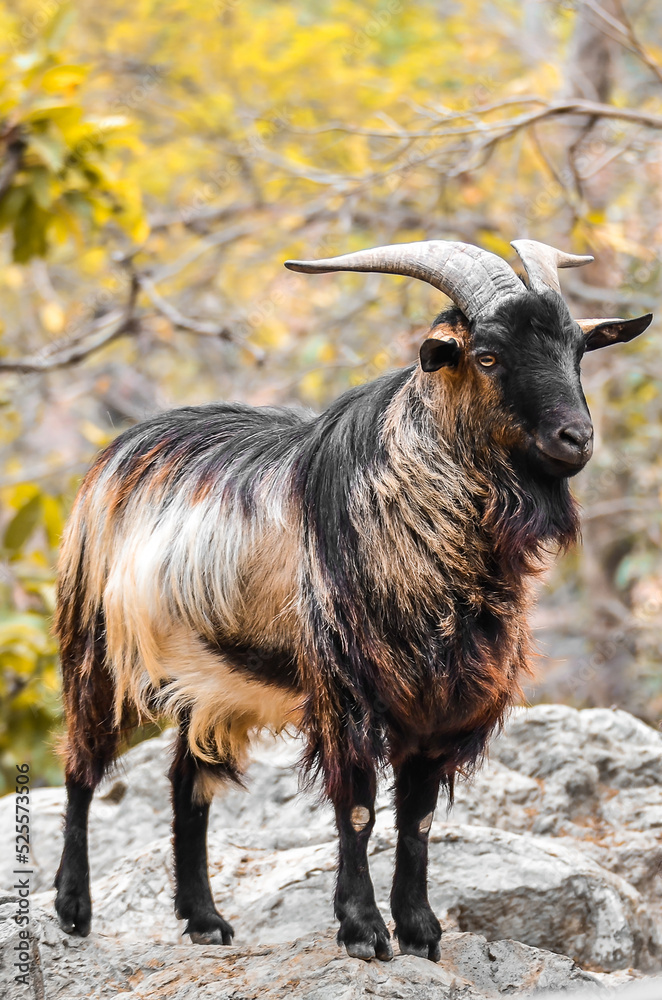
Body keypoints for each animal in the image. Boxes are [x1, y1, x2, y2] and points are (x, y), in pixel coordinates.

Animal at [54, 238, 651, 962]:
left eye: (577, 349)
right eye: (487, 356)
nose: (577, 438)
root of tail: (116, 449)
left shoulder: (443, 702)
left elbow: (419, 818)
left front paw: (420, 931)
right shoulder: (348, 692)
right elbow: (361, 807)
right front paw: (364, 930)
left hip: (213, 678)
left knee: (187, 784)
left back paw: (204, 920)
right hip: (96, 647)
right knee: (82, 767)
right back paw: (73, 910)